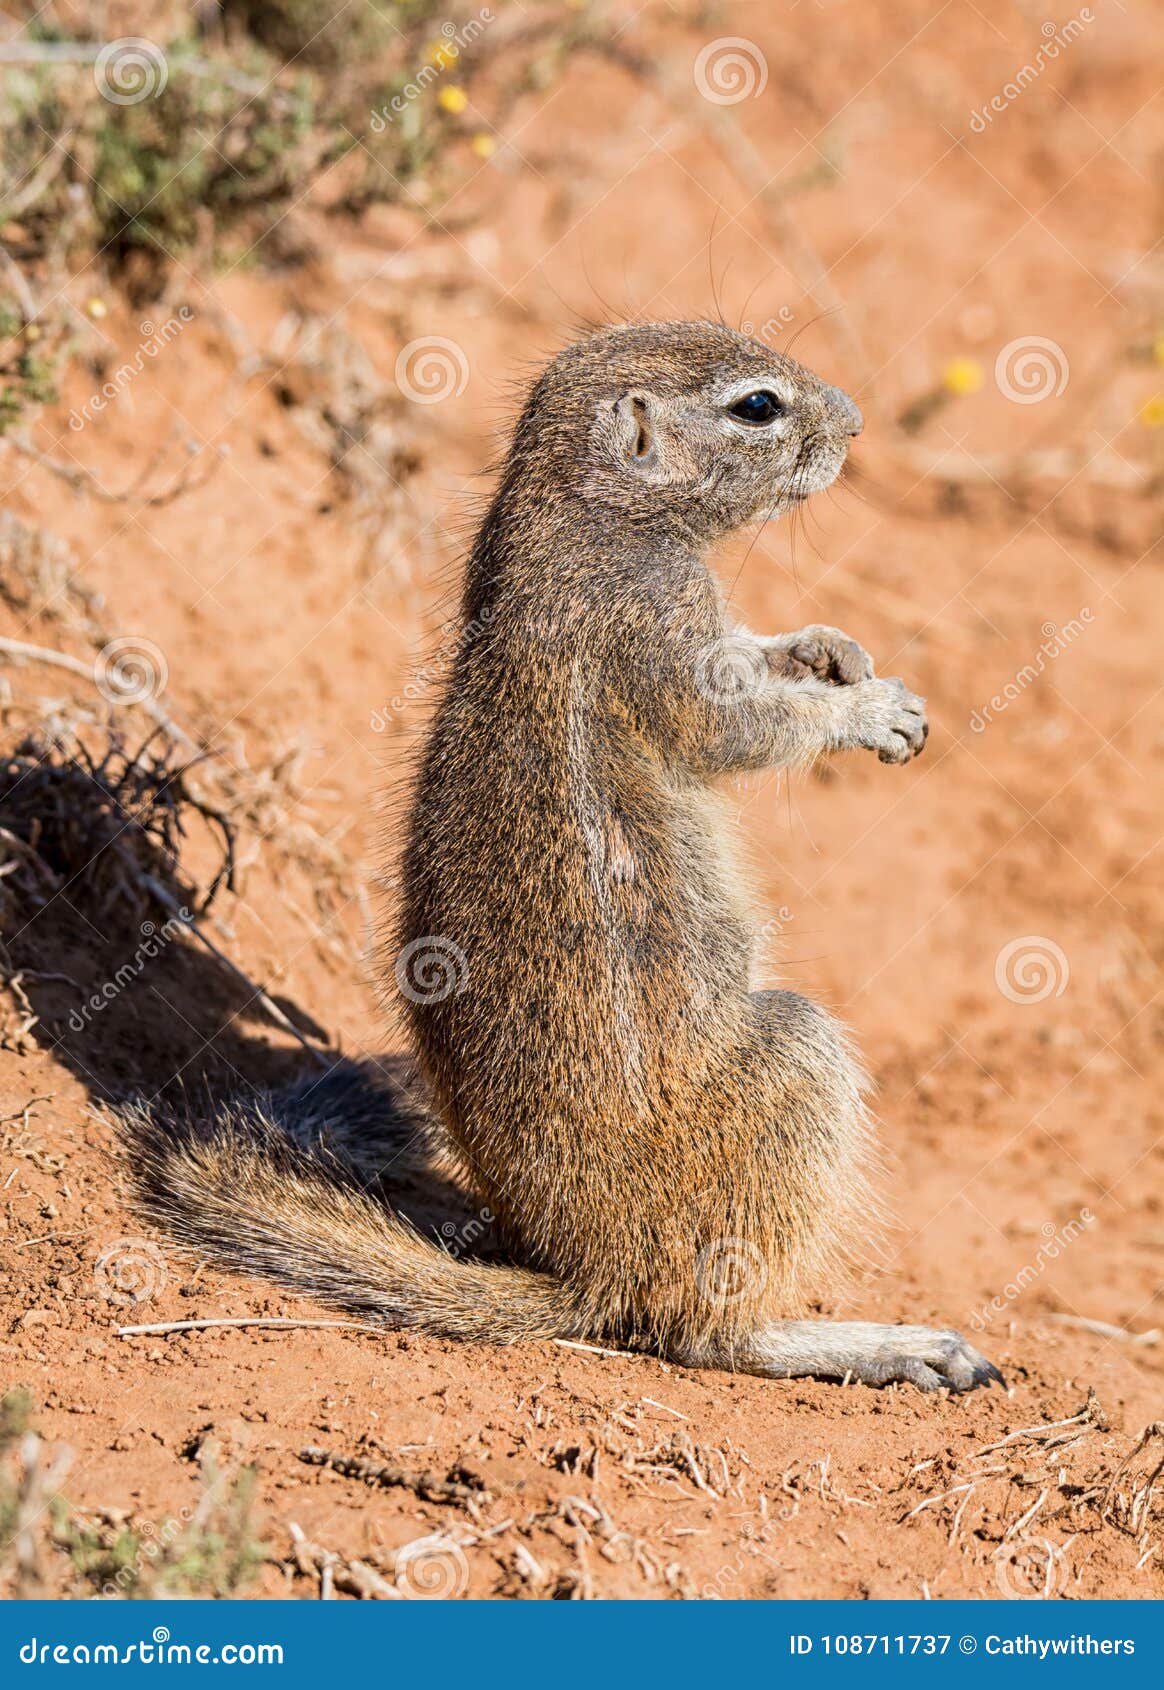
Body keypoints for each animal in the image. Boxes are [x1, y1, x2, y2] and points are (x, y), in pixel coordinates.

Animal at [126, 321, 1002, 1394]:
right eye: (757, 405)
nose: (857, 423)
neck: (593, 522)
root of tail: (585, 1273)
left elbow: (763, 652)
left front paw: (829, 648)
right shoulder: (660, 635)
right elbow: (743, 727)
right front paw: (869, 710)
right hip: (793, 1066)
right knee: (700, 1330)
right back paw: (882, 1345)